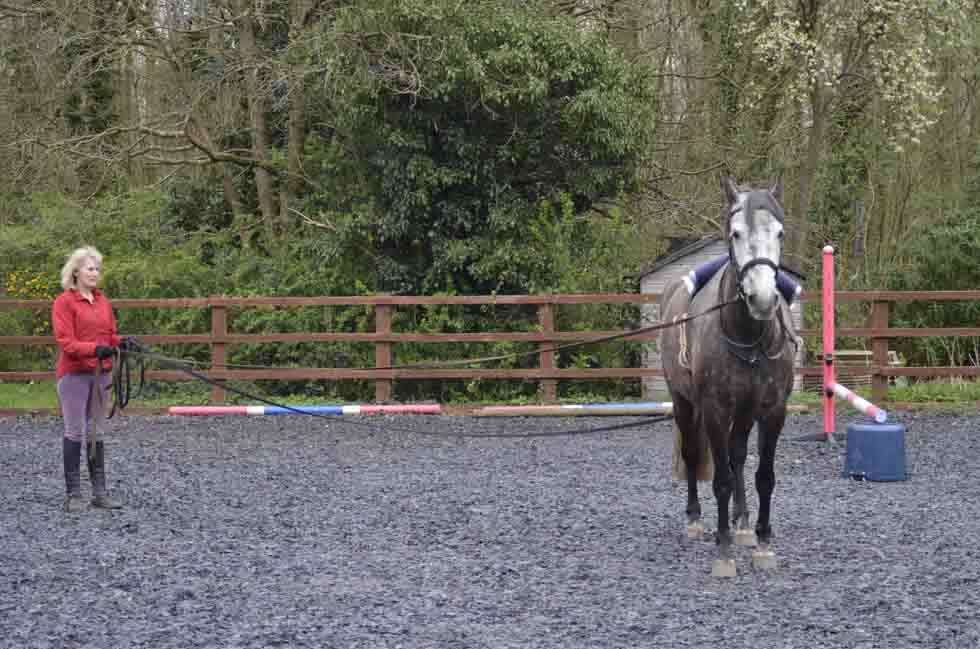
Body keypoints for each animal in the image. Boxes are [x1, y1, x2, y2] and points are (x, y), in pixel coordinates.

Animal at [660, 173, 798, 577]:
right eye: (735, 233)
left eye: (780, 233)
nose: (763, 299)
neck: (748, 336)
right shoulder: (715, 410)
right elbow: (719, 479)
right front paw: (722, 550)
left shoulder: (772, 410)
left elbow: (763, 476)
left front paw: (763, 542)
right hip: (683, 401)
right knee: (693, 453)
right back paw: (695, 519)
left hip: (745, 411)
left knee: (737, 456)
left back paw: (742, 523)